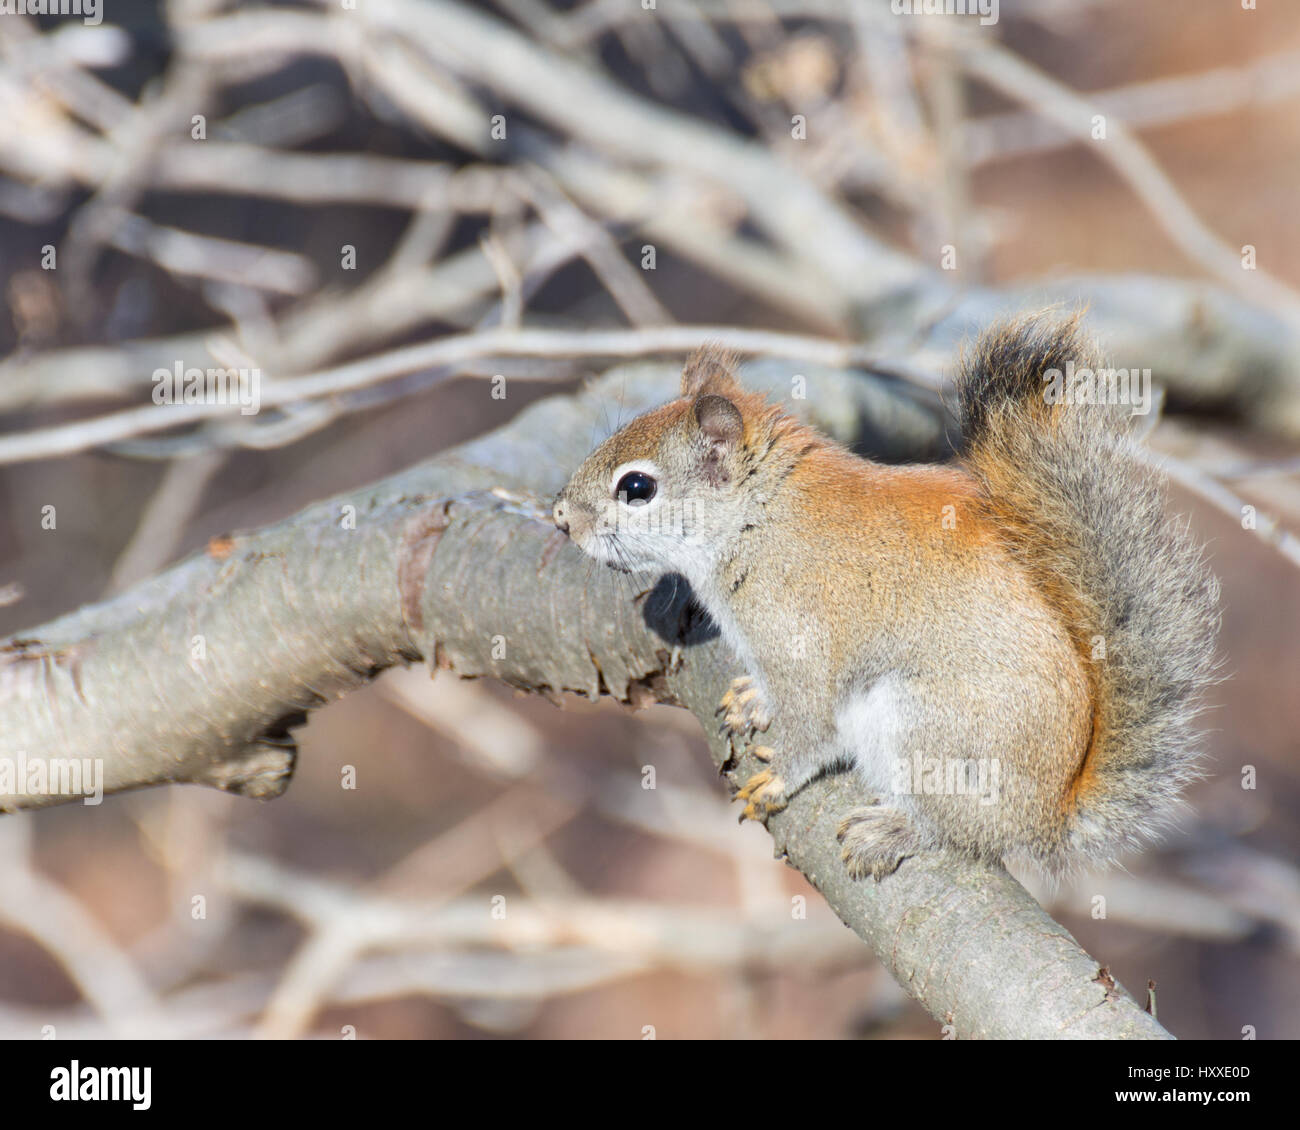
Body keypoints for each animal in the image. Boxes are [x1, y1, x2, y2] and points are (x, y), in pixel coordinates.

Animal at [552, 314, 1220, 879]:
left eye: (637, 487)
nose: (560, 518)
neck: (761, 519)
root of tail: (1047, 817)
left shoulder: (805, 642)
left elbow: (812, 729)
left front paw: (776, 781)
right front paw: (752, 699)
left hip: (920, 730)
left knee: (960, 833)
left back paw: (895, 830)